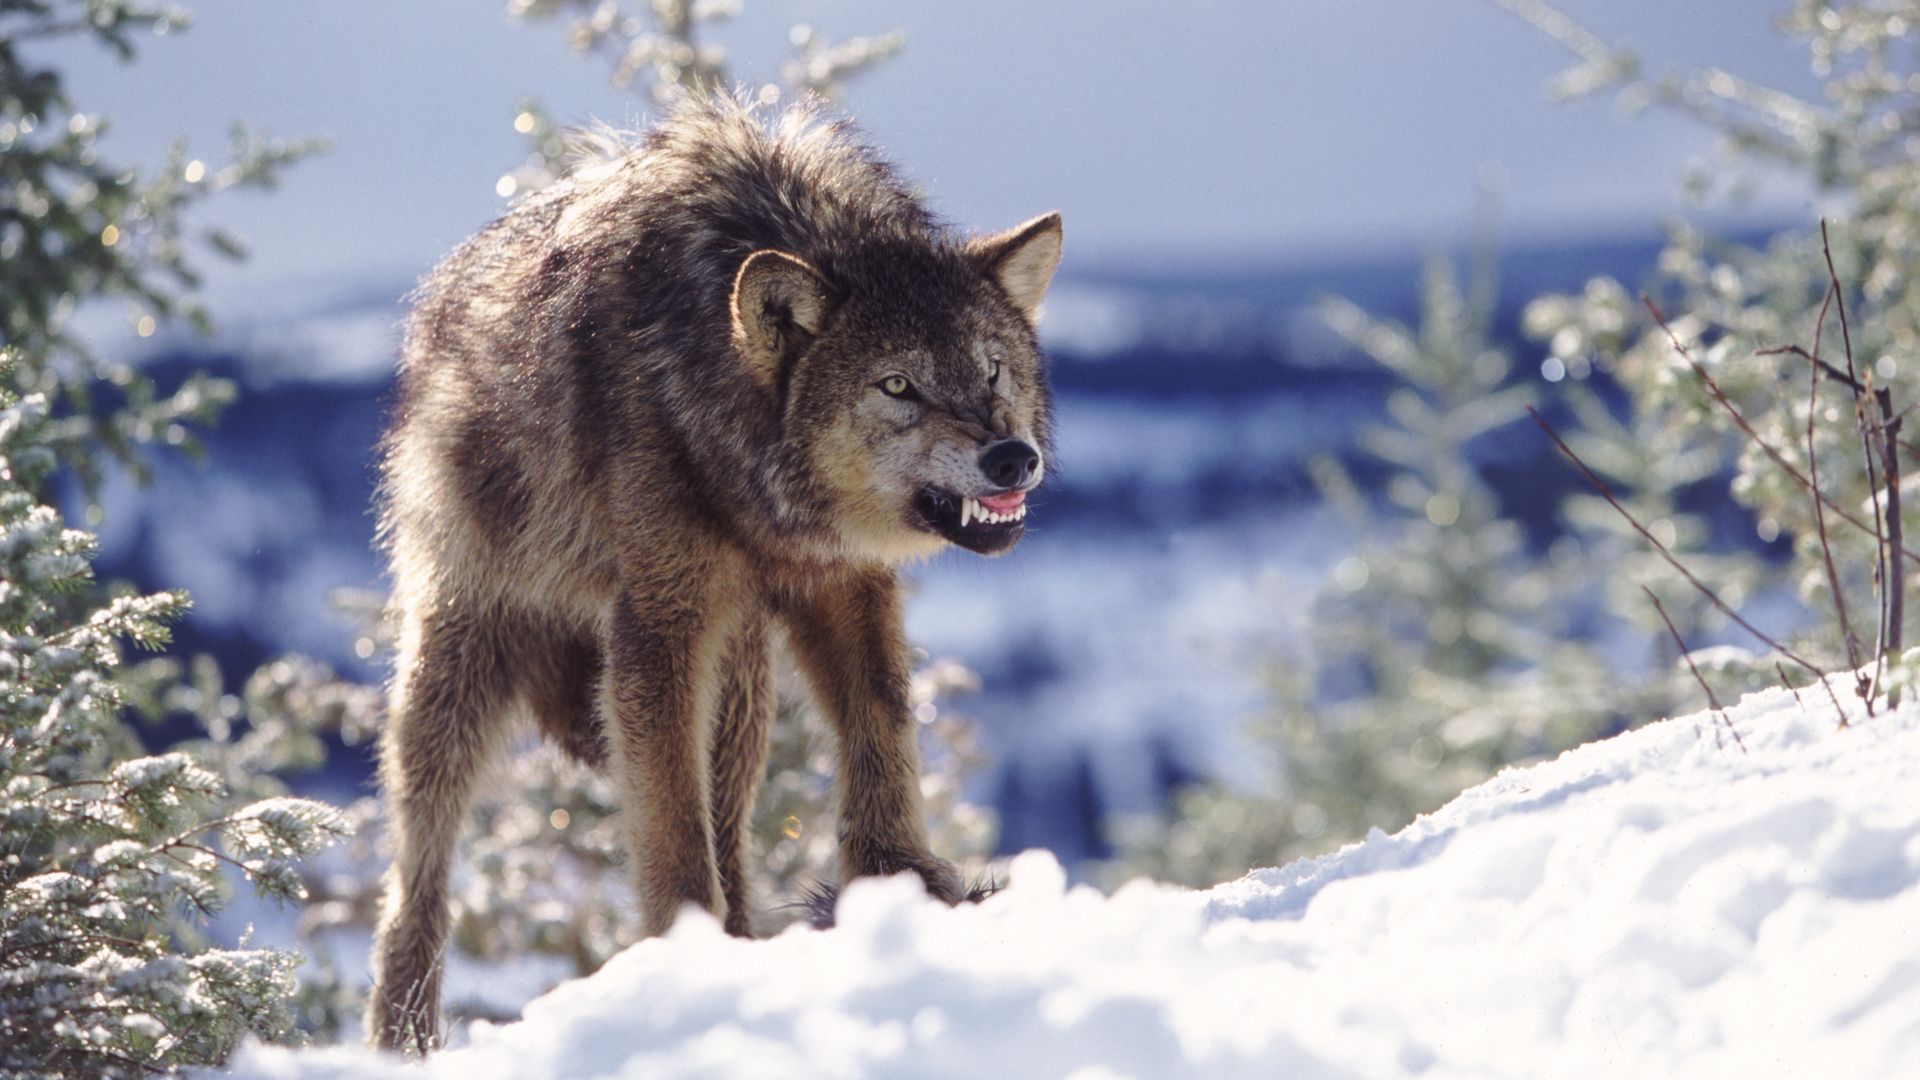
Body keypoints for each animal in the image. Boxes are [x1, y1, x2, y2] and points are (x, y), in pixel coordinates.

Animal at [365, 97, 1061, 1053]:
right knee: (417, 879)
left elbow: (880, 727)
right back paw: (402, 1033)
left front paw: (902, 883)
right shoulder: (657, 624)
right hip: (457, 667)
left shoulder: (844, 584)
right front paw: (684, 957)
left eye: (993, 369)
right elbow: (669, 829)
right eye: (898, 387)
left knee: (729, 822)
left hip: (741, 684)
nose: (1012, 457)